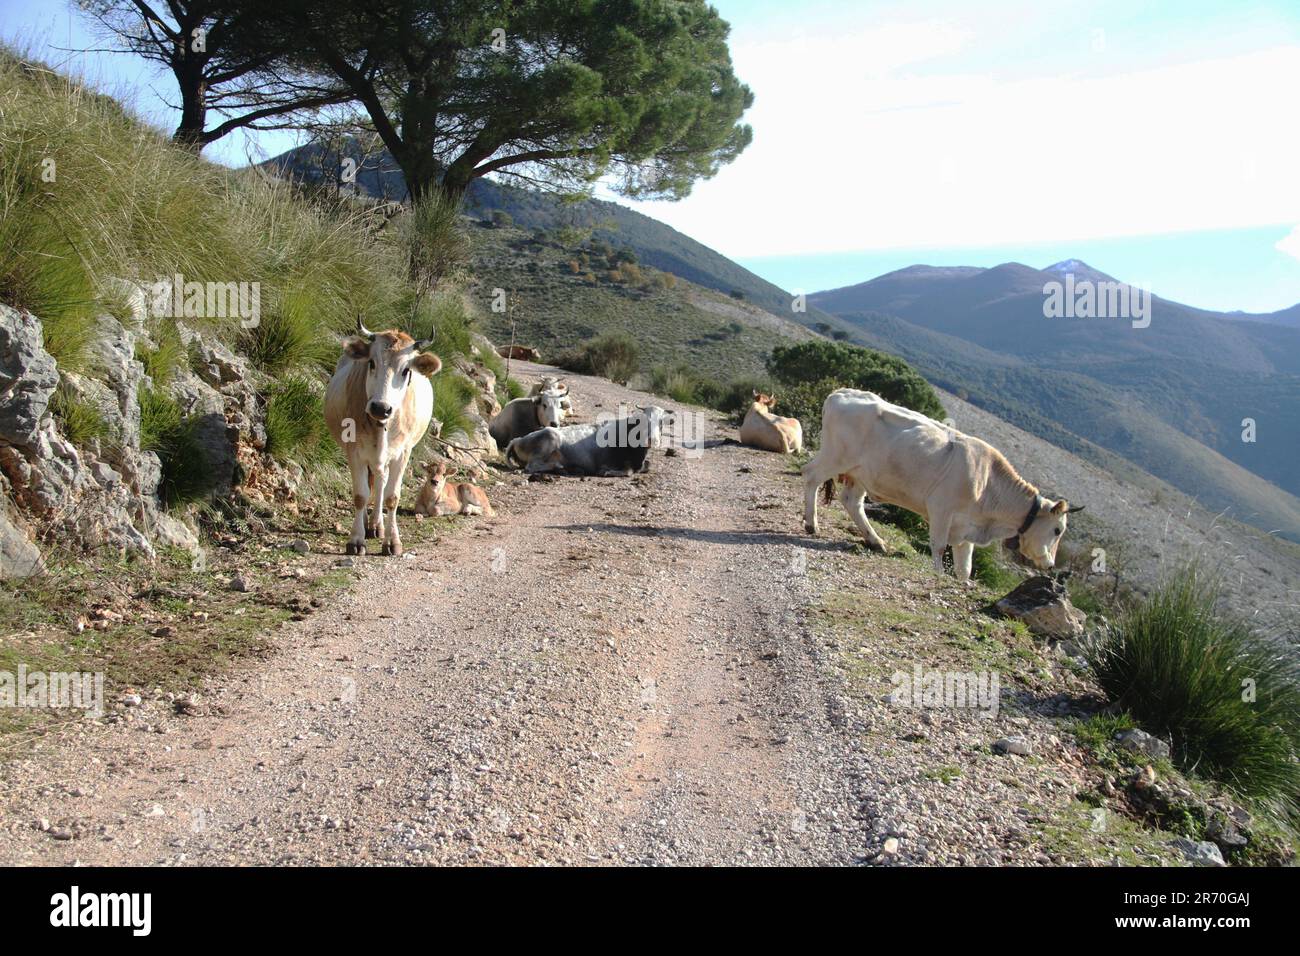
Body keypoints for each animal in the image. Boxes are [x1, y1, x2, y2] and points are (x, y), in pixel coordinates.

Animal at [324, 319, 443, 557]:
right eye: (371, 362)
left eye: (406, 370)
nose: (380, 407)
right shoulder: (354, 451)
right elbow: (360, 495)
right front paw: (356, 540)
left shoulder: (403, 453)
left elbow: (392, 497)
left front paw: (392, 541)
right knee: (373, 484)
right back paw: (368, 524)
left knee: (381, 483)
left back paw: (377, 525)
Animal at [505, 405, 672, 477]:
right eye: (643, 421)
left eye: (661, 422)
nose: (652, 440)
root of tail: (518, 439)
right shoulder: (608, 462)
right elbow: (628, 472)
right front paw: (608, 472)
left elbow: (647, 466)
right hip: (550, 438)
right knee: (531, 466)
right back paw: (560, 467)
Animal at [801, 389, 1082, 581]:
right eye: (1057, 530)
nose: (1050, 564)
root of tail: (841, 393)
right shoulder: (941, 509)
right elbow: (937, 546)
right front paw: (937, 573)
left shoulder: (966, 527)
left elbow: (965, 566)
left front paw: (962, 582)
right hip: (835, 456)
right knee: (811, 475)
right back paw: (811, 524)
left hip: (861, 474)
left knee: (853, 502)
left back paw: (875, 541)